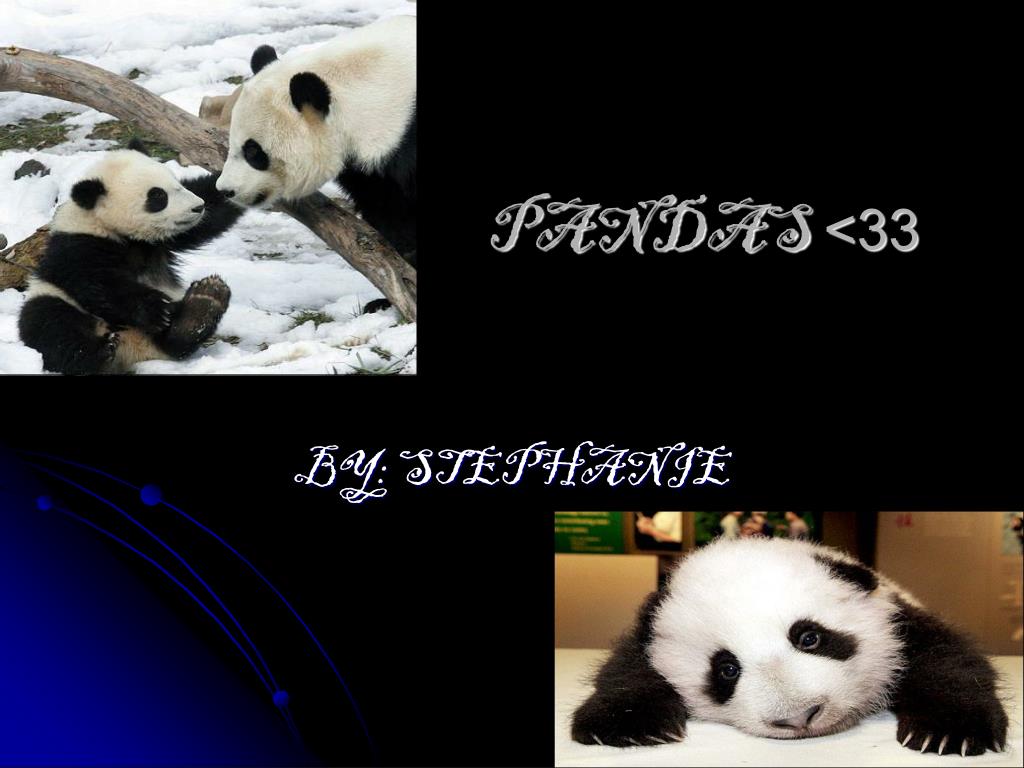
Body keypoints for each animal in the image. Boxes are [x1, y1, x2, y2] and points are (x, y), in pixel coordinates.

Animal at [18, 141, 242, 374]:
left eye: (175, 182)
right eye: (158, 196)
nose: (198, 206)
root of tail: (134, 350)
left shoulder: (164, 242)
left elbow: (213, 206)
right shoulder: (77, 245)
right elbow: (96, 283)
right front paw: (155, 309)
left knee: (174, 341)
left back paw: (204, 303)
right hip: (53, 299)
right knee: (51, 326)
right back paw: (100, 352)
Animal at [571, 537, 1008, 757]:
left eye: (809, 637)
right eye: (726, 669)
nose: (800, 717)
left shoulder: (897, 618)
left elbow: (946, 658)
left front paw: (950, 729)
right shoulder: (651, 629)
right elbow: (628, 668)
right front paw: (628, 724)